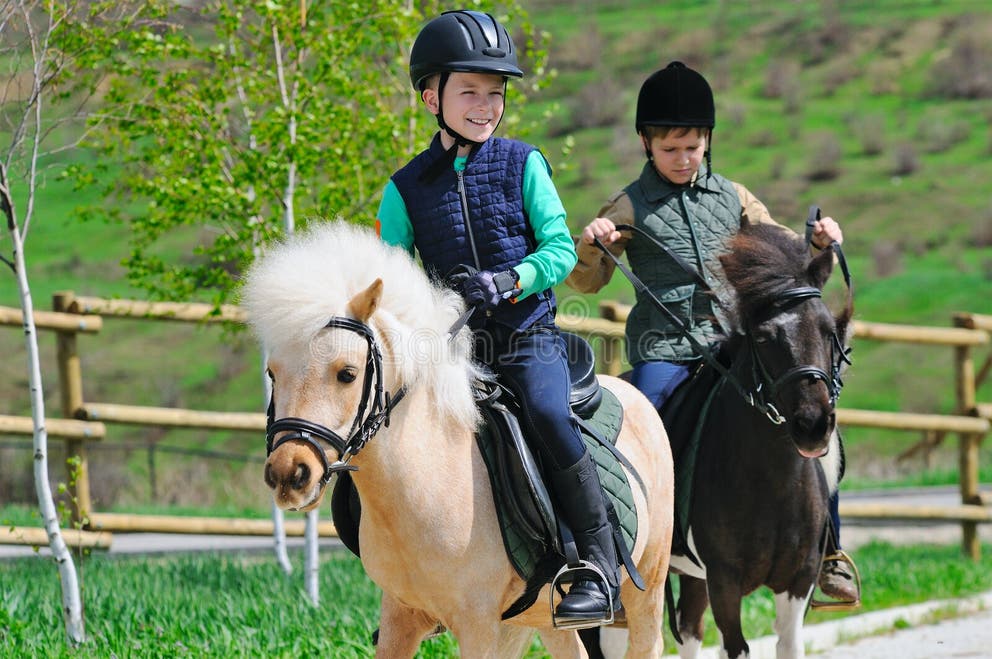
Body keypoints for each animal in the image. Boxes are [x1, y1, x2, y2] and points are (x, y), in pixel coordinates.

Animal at [241, 221, 675, 658]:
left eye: (347, 373)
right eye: (273, 373)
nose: (289, 474)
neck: (422, 482)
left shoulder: (478, 623)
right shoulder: (399, 616)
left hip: (647, 589)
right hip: (541, 617)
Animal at [662, 221, 854, 659]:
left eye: (828, 331)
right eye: (765, 337)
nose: (813, 425)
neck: (772, 482)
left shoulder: (798, 581)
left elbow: (788, 645)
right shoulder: (724, 581)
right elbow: (736, 646)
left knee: (690, 628)